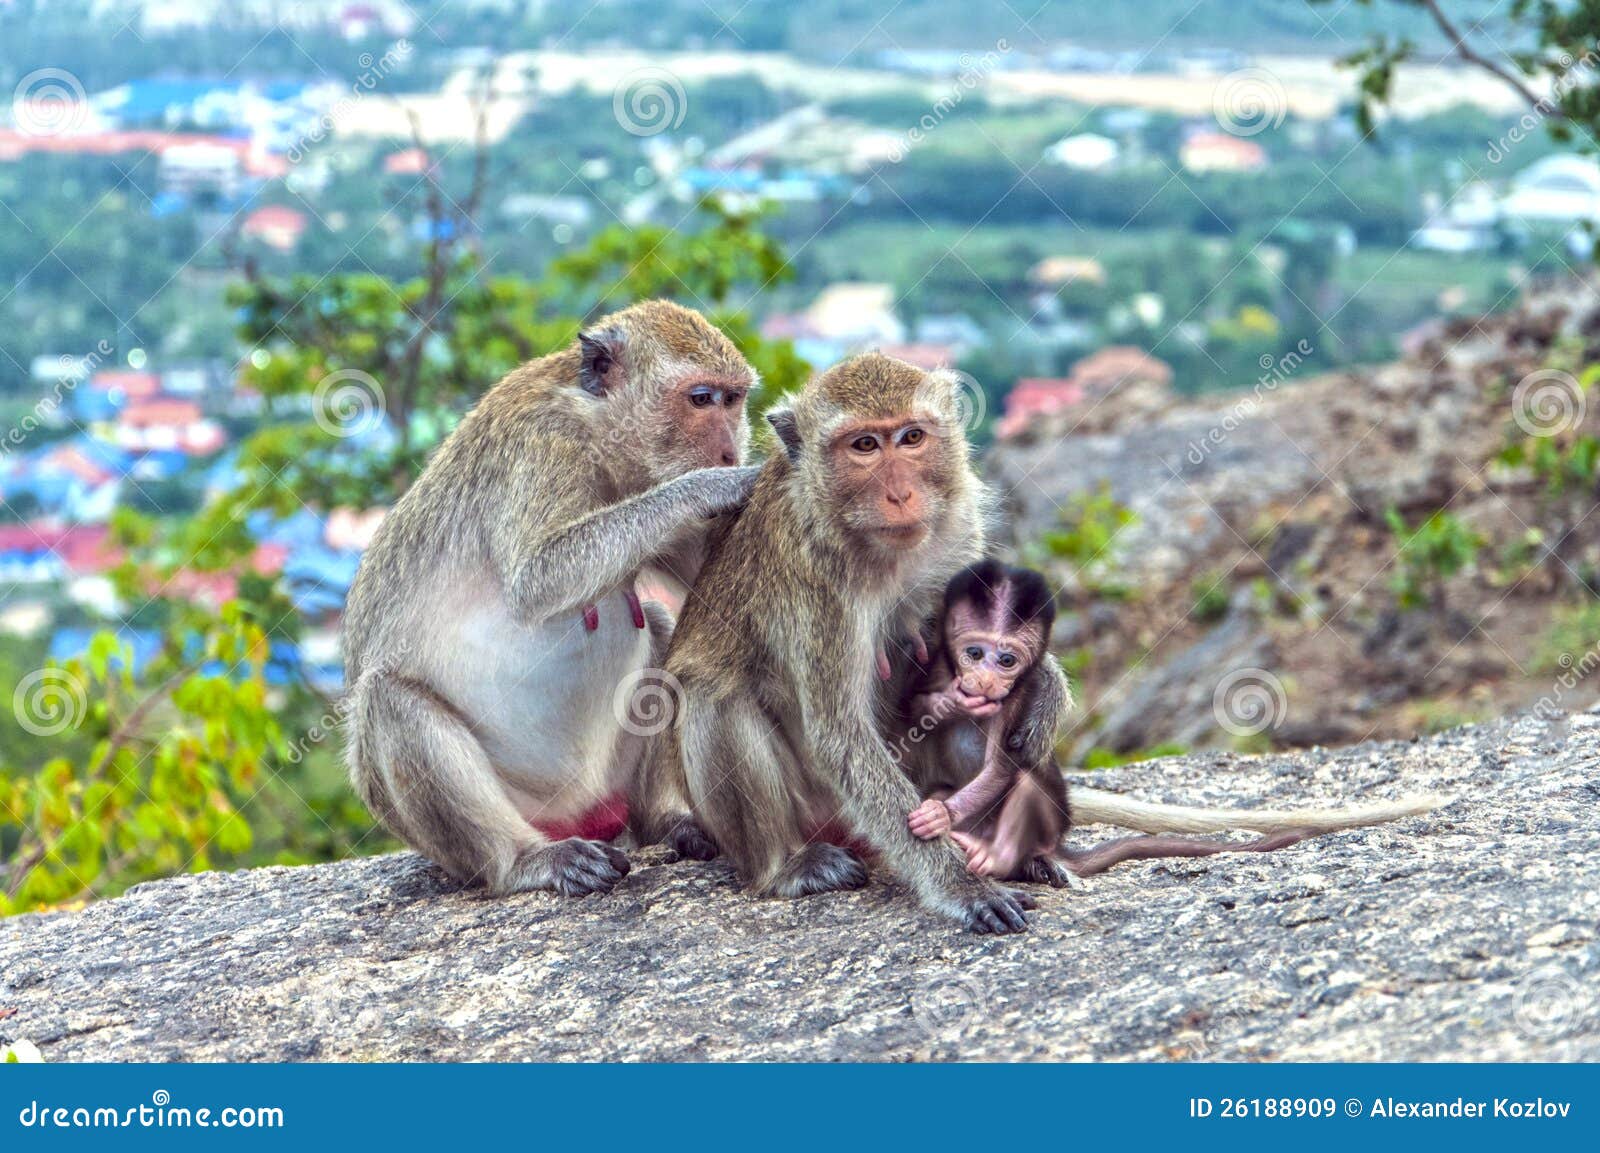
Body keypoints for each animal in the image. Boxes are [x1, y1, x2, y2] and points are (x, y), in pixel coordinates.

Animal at [342, 299, 760, 898]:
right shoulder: (541, 446)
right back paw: (526, 860)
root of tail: (580, 812)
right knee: (388, 698)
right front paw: (710, 487)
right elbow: (538, 579)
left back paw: (664, 821)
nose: (728, 452)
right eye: (701, 398)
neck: (595, 426)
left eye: (734, 399)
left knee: (659, 624)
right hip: (505, 816)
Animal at [659, 352, 1044, 934]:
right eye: (864, 446)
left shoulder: (958, 532)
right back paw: (786, 866)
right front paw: (962, 886)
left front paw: (1044, 688)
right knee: (714, 696)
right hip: (819, 809)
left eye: (911, 437)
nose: (901, 494)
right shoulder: (813, 577)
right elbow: (841, 735)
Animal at [897, 560, 1451, 884]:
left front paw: (940, 817)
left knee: (1028, 780)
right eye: (974, 653)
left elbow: (1003, 764)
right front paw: (950, 702)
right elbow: (916, 708)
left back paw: (1001, 855)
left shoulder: (1021, 695)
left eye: (1007, 660)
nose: (985, 680)